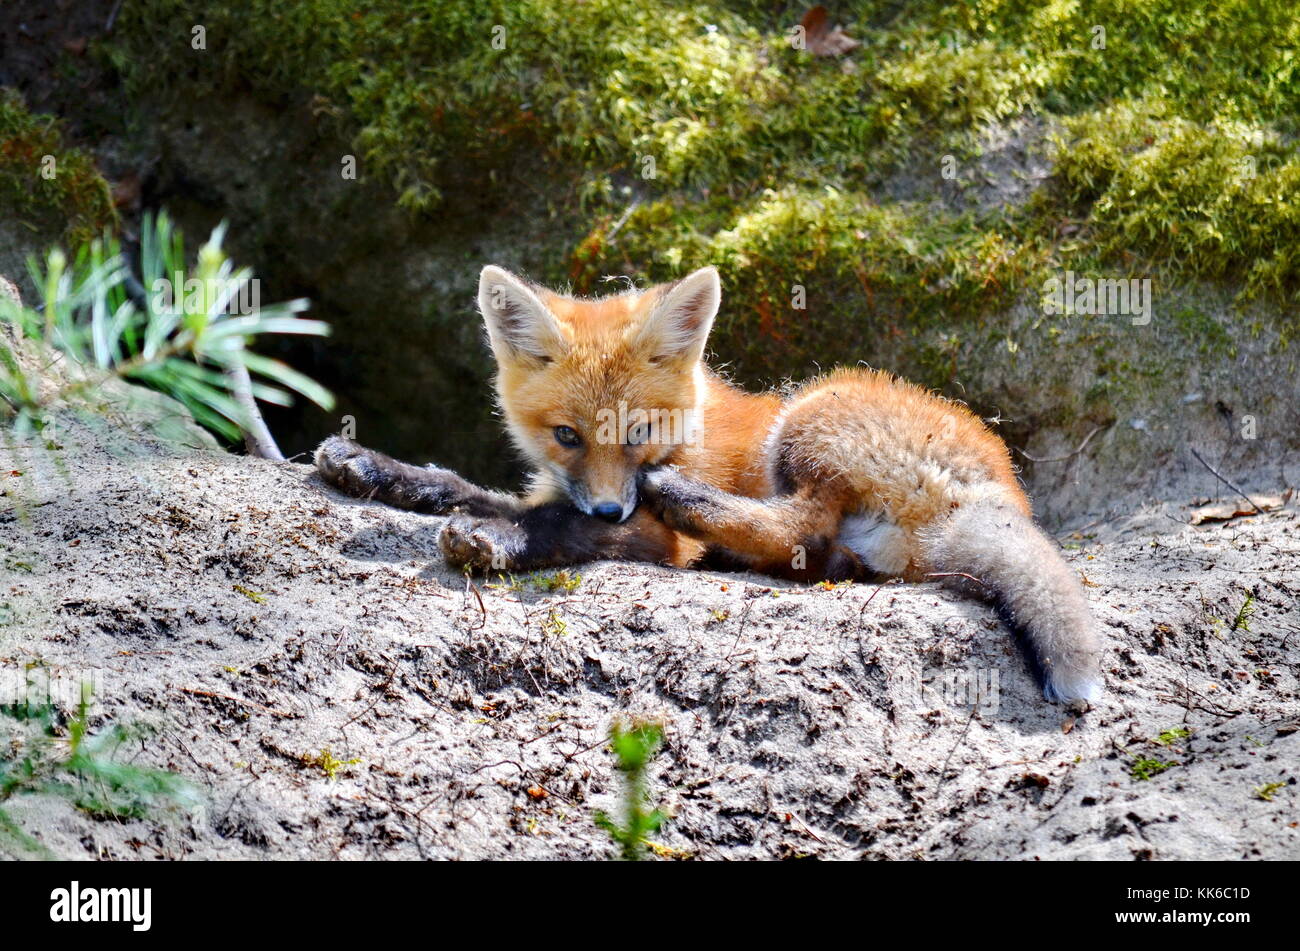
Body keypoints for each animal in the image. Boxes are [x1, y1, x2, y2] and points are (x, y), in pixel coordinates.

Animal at [315, 265, 1103, 705]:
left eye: (637, 431)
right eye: (567, 435)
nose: (614, 502)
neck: (684, 429)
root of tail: (1006, 494)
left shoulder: (648, 534)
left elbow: (555, 524)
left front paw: (493, 539)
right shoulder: (559, 483)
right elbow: (462, 485)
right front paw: (375, 467)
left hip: (811, 413)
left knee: (795, 526)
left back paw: (691, 502)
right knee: (828, 556)